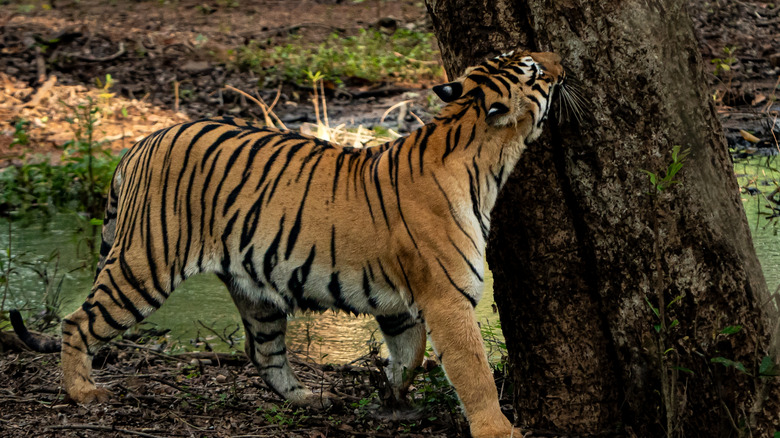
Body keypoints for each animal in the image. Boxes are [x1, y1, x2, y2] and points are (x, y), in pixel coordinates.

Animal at [11, 50, 565, 438]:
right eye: (535, 71)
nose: (563, 65)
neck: (480, 147)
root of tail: (139, 143)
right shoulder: (448, 298)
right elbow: (473, 372)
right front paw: (497, 429)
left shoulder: (401, 306)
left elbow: (408, 357)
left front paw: (391, 401)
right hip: (143, 263)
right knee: (76, 322)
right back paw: (83, 393)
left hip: (254, 292)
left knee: (264, 353)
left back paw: (306, 400)